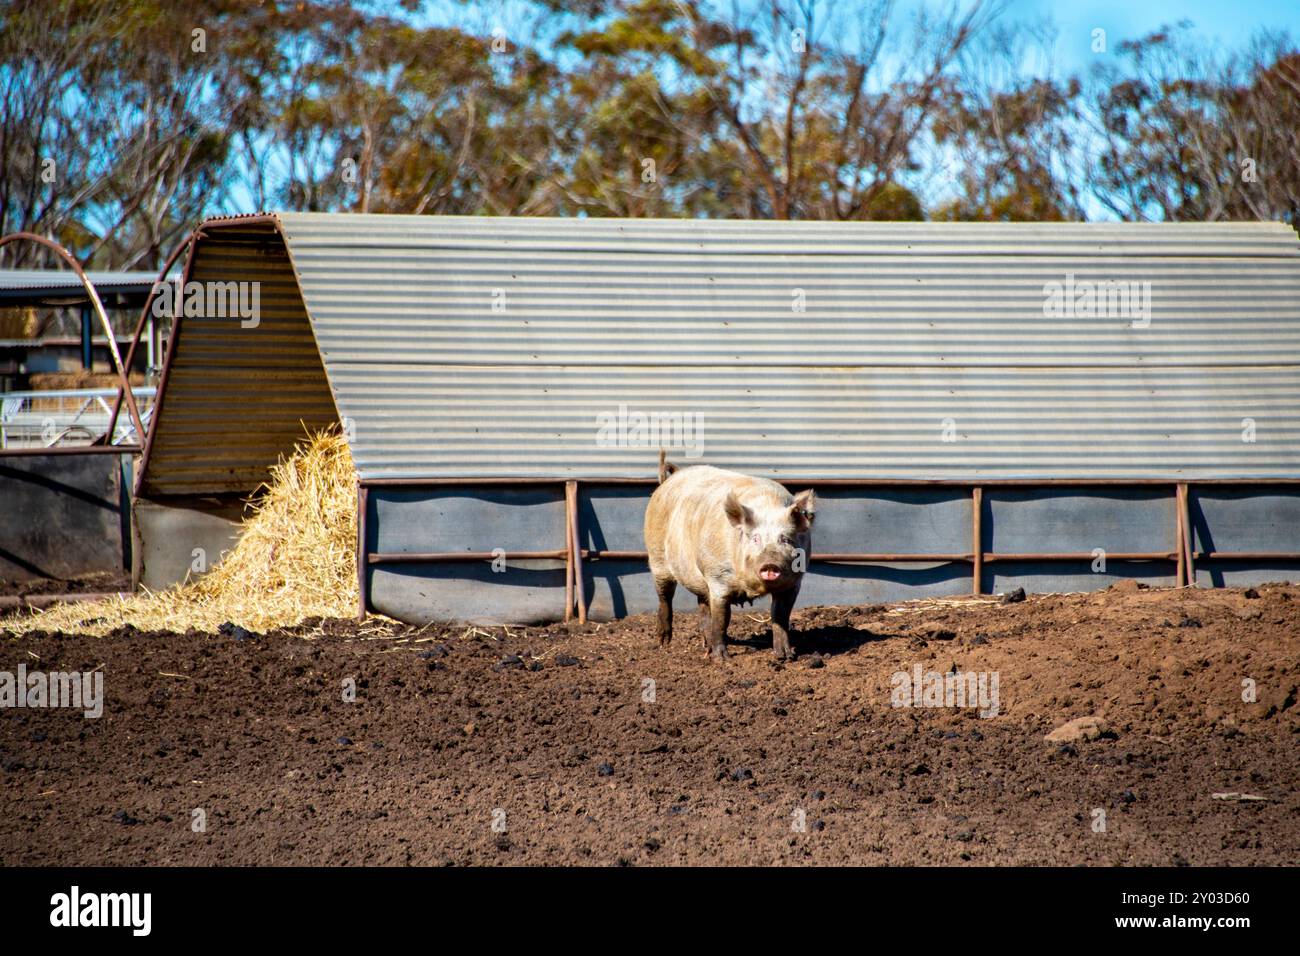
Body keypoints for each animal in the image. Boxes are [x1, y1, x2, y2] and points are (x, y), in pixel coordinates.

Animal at [644, 451, 816, 661]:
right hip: (657, 557)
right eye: (755, 538)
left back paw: (706, 646)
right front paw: (722, 660)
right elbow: (722, 619)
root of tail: (669, 479)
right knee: (665, 597)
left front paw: (786, 656)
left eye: (785, 539)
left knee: (702, 605)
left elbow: (780, 617)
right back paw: (664, 642)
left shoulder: (793, 584)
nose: (770, 562)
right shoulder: (718, 578)